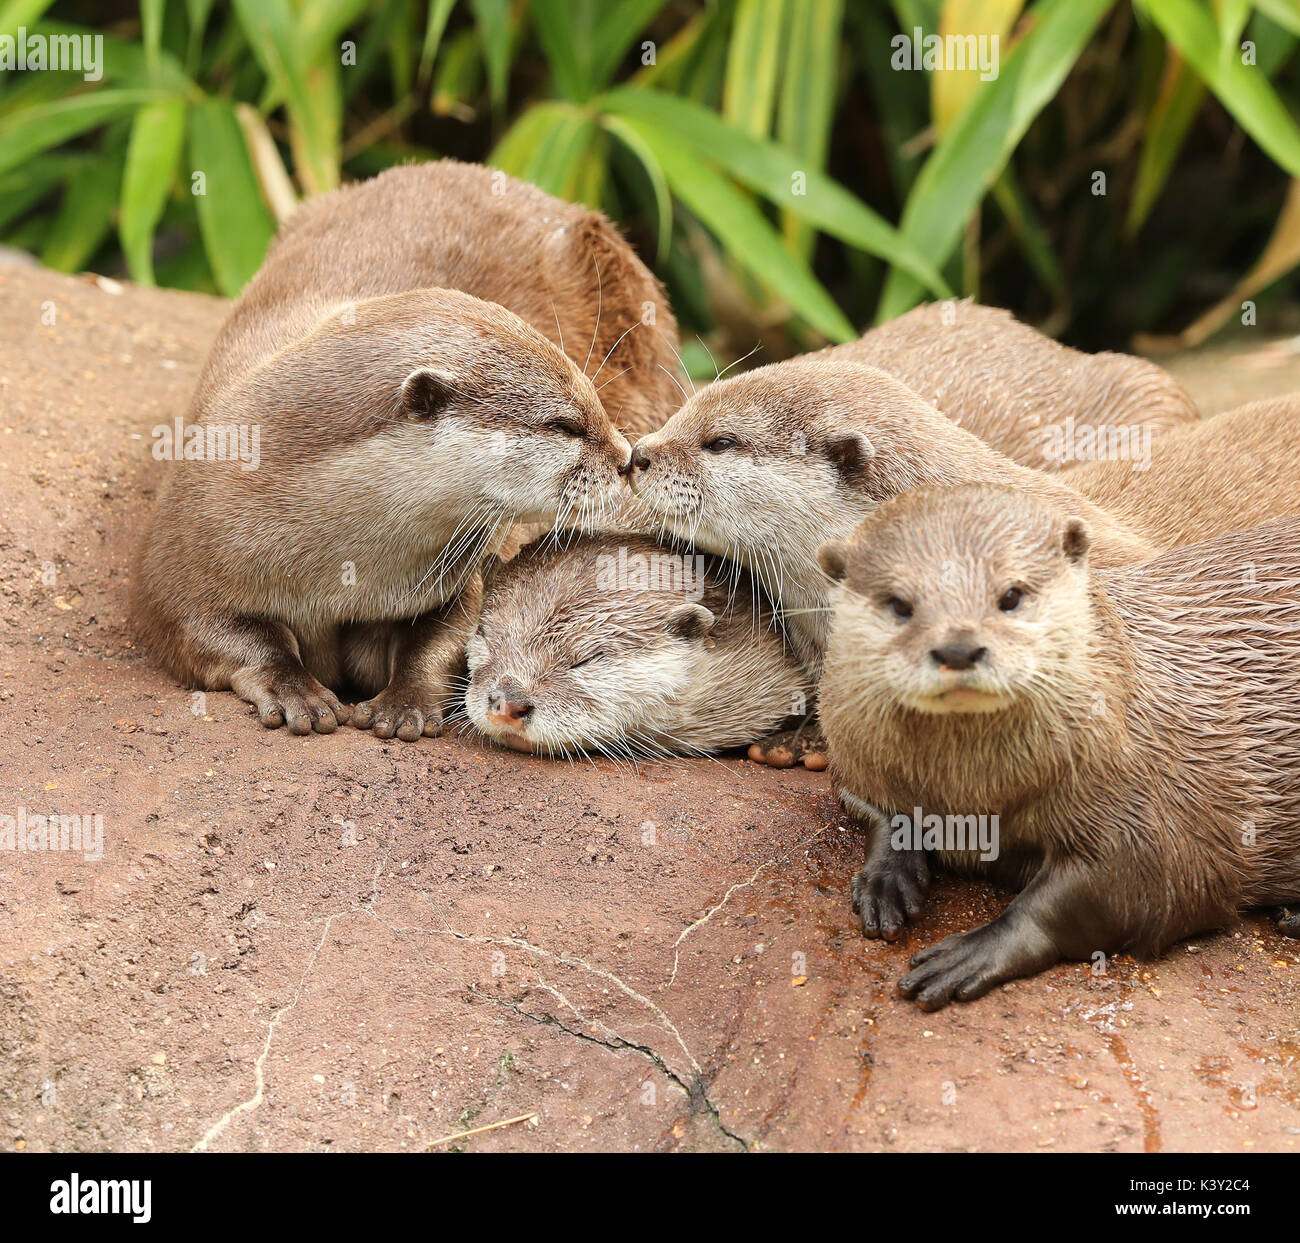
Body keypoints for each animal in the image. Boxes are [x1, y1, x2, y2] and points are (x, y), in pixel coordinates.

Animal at [817, 484, 1300, 1010]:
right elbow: (866, 801)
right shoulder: (848, 739)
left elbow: (1140, 888)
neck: (969, 798)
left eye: (1011, 595)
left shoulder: (1151, 803)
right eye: (899, 604)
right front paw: (887, 877)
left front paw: (978, 948)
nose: (958, 649)